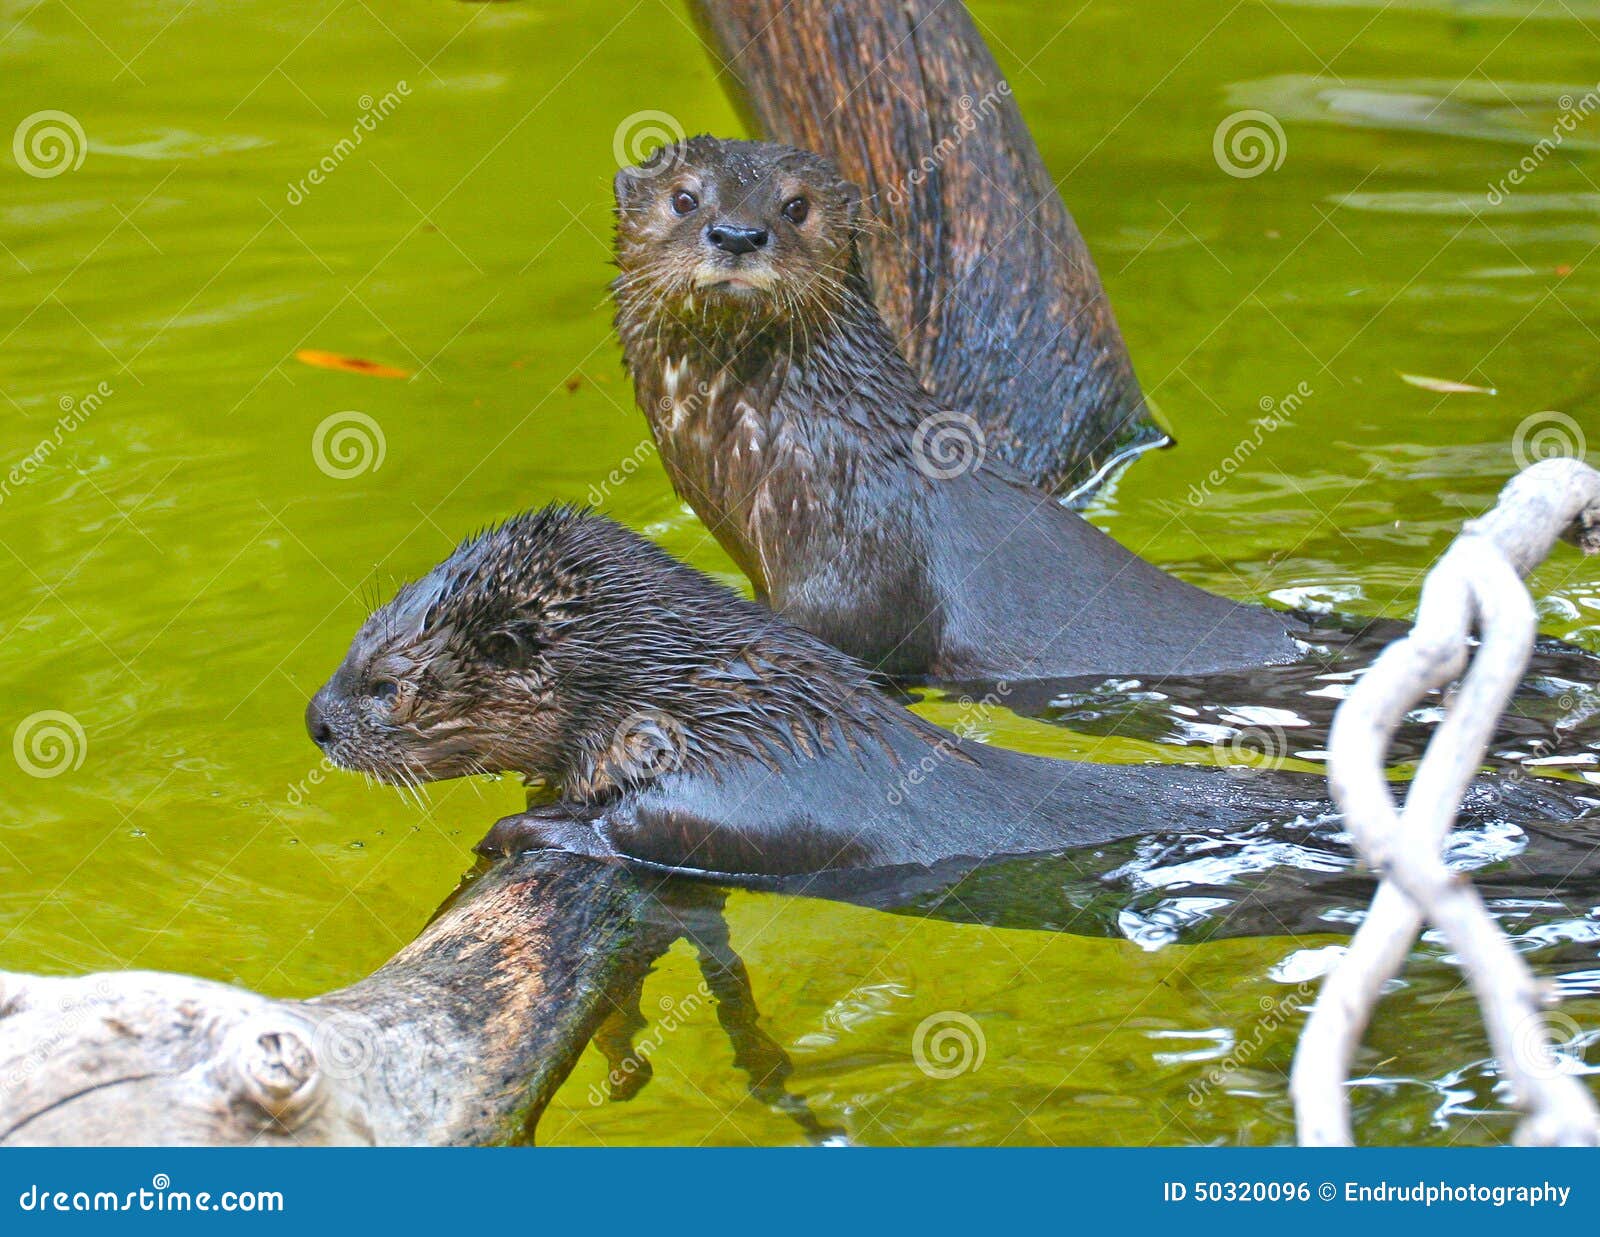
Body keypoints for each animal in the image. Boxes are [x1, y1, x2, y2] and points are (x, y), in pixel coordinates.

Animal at [305, 505, 1343, 881]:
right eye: (351, 645)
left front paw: (532, 824)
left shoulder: (767, 770)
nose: (314, 720)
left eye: (384, 683)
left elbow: (665, 826)